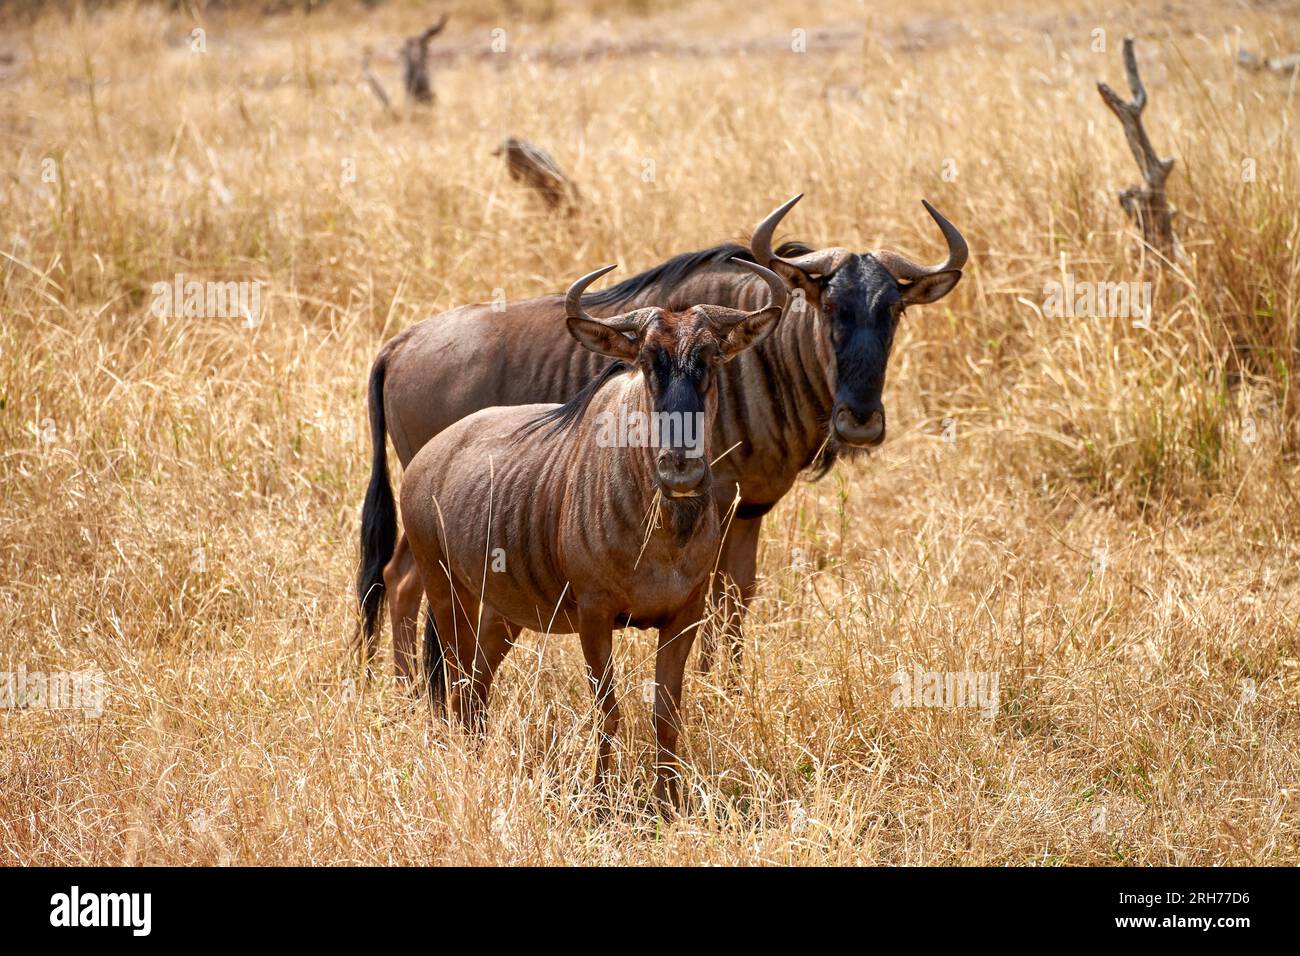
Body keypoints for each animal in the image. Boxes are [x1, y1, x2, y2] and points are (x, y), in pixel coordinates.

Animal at [359, 196, 967, 684]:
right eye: (831, 308)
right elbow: (717, 598)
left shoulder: (748, 510)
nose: (860, 419)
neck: (765, 359)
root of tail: (400, 342)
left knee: (399, 579)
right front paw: (712, 682)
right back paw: (406, 686)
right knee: (404, 581)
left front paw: (729, 686)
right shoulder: (714, 502)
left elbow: (737, 595)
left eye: (893, 310)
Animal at [399, 260, 789, 808]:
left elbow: (665, 715)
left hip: (503, 612)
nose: (681, 470)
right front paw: (602, 803)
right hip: (446, 591)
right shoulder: (594, 615)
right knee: (456, 684)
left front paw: (668, 805)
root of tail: (427, 460)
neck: (660, 534)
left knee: (476, 685)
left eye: (711, 359)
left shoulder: (684, 615)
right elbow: (609, 713)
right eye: (647, 361)